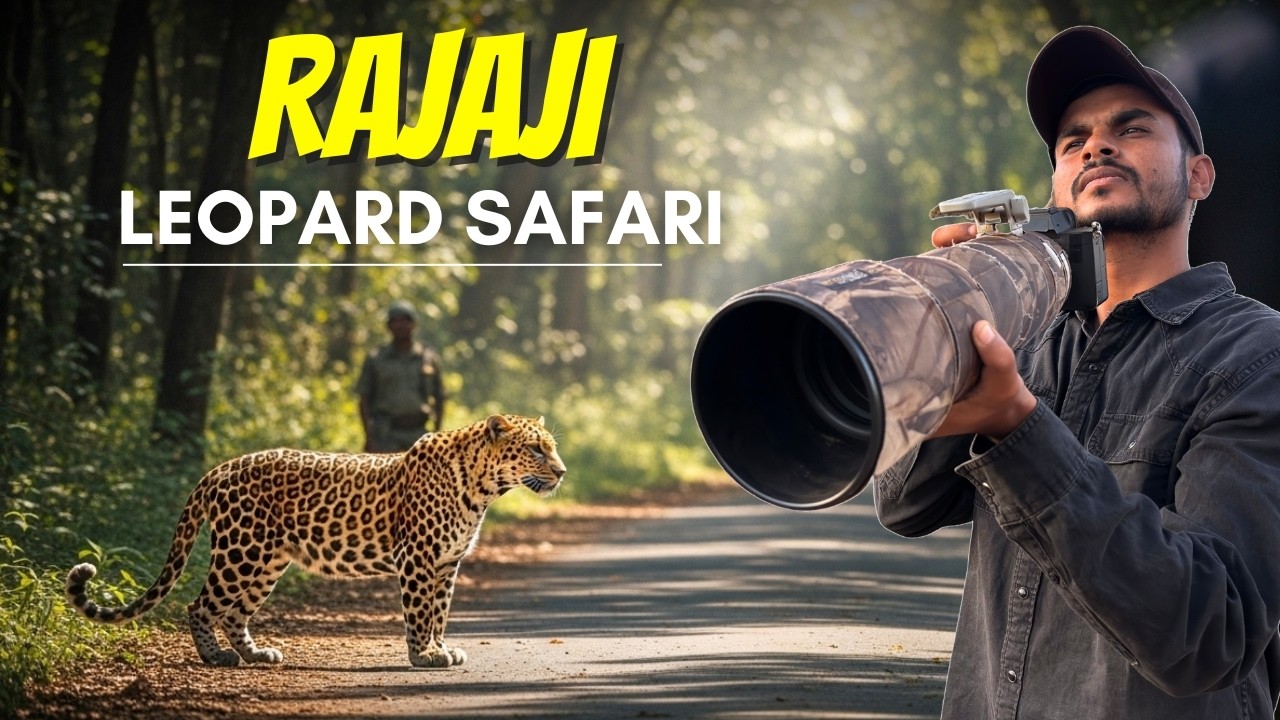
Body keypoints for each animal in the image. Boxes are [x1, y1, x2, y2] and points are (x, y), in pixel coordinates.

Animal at [65, 414, 565, 669]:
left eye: (552, 447)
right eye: (536, 448)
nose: (561, 472)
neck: (484, 488)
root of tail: (219, 469)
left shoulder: (446, 562)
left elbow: (439, 611)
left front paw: (440, 648)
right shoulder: (418, 558)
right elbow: (420, 611)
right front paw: (424, 655)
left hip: (268, 562)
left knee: (234, 613)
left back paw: (257, 653)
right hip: (240, 553)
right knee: (201, 605)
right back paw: (216, 657)